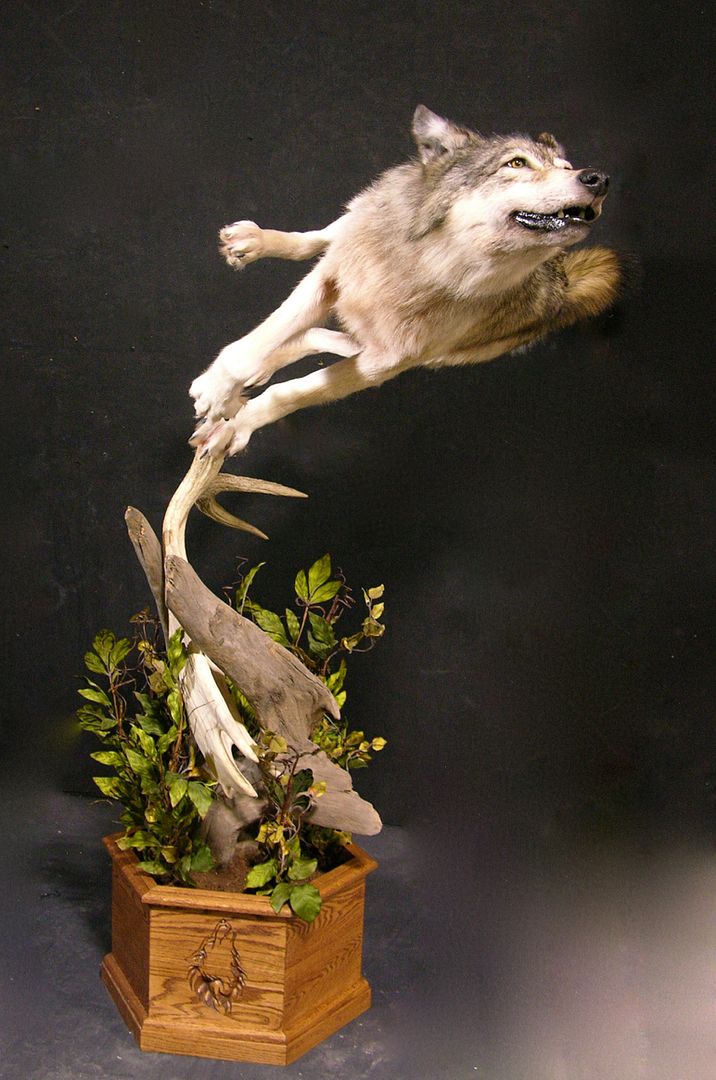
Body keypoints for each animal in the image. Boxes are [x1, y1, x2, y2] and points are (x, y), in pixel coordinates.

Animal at [190, 105, 620, 456]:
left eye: (566, 167)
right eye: (516, 163)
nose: (598, 178)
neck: (425, 267)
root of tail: (565, 276)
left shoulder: (380, 366)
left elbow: (289, 392)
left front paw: (235, 426)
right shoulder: (328, 279)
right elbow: (257, 340)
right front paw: (216, 388)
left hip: (429, 357)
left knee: (317, 336)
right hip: (350, 236)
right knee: (322, 239)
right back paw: (253, 241)